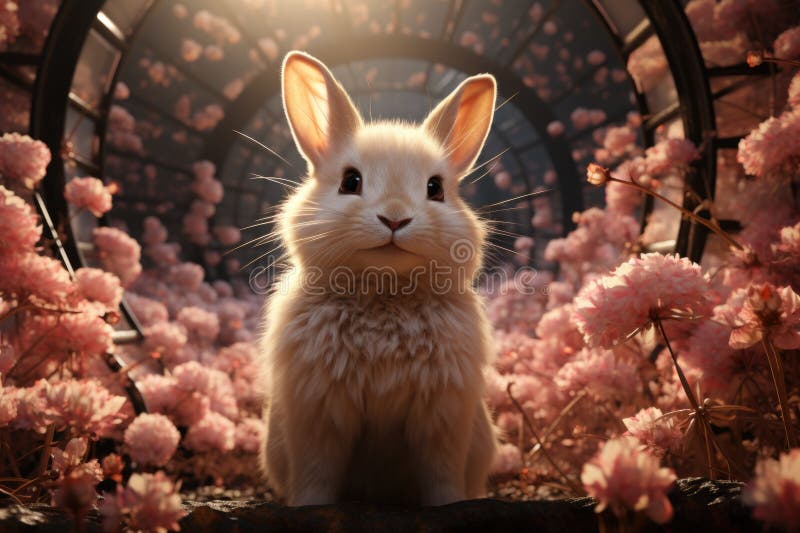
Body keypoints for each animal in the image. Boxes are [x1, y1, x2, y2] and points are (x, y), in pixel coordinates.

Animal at [259, 50, 498, 507]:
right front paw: (309, 509)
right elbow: (317, 475)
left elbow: (441, 477)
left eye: (436, 188)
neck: (383, 293)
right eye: (350, 181)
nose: (395, 218)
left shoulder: (441, 420)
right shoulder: (319, 416)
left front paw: (450, 507)